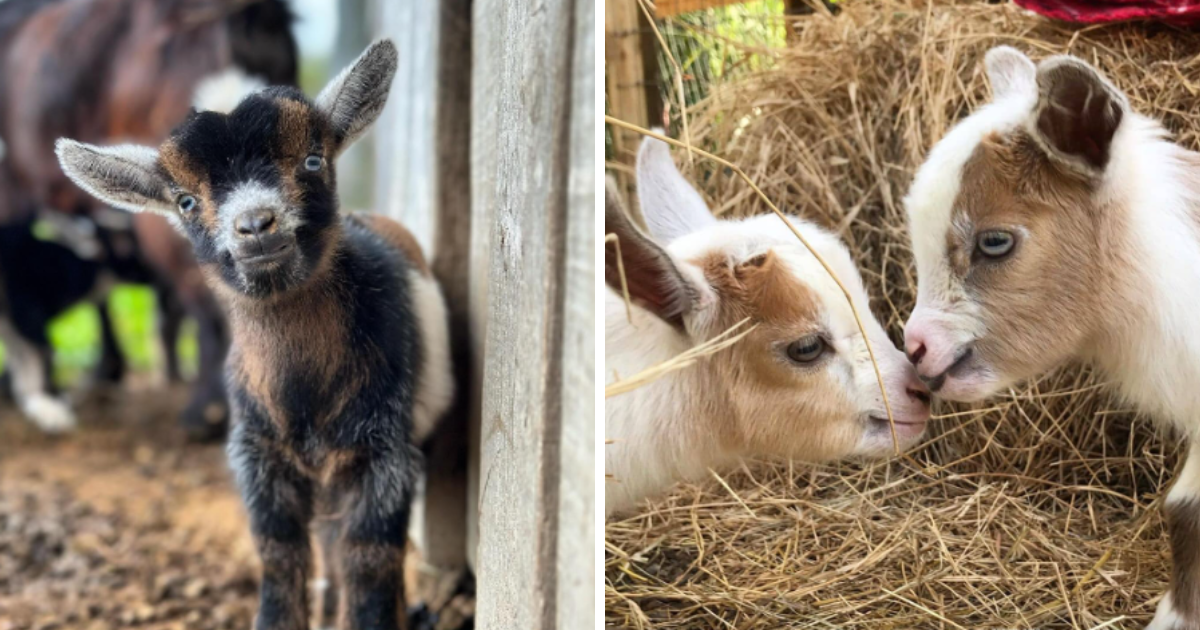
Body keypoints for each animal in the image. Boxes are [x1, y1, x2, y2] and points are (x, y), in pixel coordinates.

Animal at [57, 40, 454, 629]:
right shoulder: (257, 451)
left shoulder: (383, 451)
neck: (303, 395)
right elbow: (278, 548)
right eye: (185, 200)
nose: (255, 225)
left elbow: (372, 554)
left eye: (313, 160)